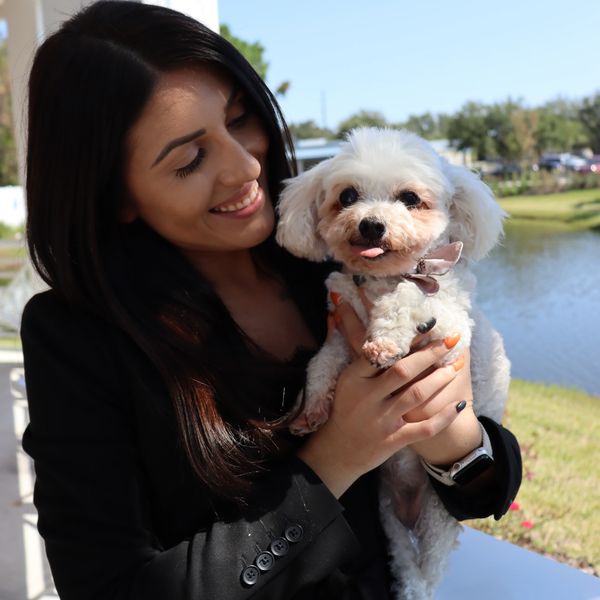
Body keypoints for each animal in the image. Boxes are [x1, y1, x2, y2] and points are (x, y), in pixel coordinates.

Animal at [276, 127, 511, 600]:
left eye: (410, 198)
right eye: (347, 196)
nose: (371, 224)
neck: (383, 279)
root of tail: (409, 502)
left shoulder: (451, 328)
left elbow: (407, 297)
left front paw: (385, 340)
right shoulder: (338, 327)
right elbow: (321, 363)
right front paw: (311, 410)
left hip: (437, 520)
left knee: (428, 570)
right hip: (390, 521)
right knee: (405, 561)